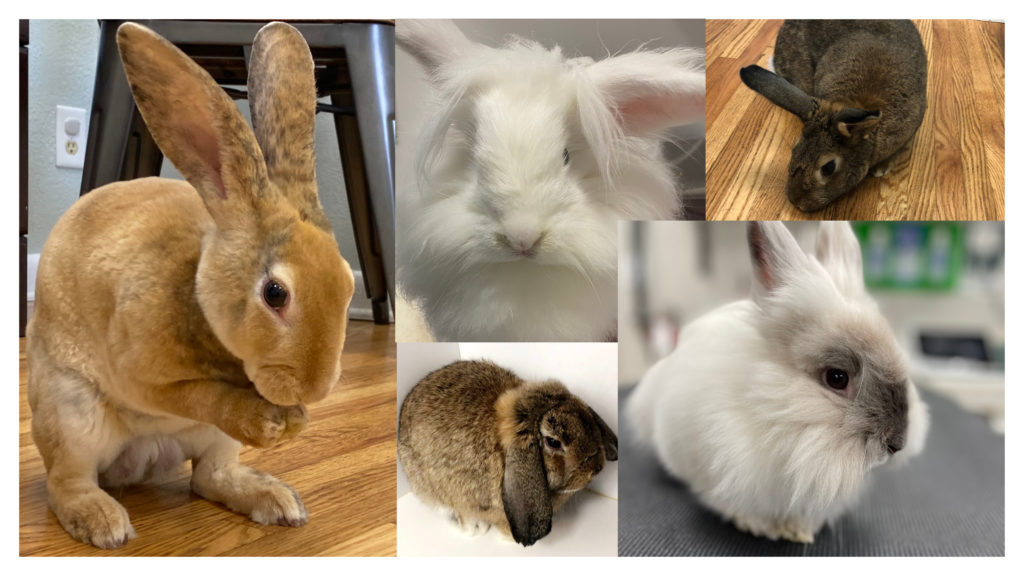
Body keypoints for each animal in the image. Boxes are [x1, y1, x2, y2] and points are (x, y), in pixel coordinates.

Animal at [26, 22, 355, 548]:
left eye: (348, 284)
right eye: (275, 294)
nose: (317, 386)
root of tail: (140, 464)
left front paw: (295, 422)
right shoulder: (141, 372)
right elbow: (197, 396)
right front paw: (265, 422)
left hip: (212, 443)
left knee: (208, 479)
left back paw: (276, 499)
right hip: (71, 416)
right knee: (66, 482)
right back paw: (102, 522)